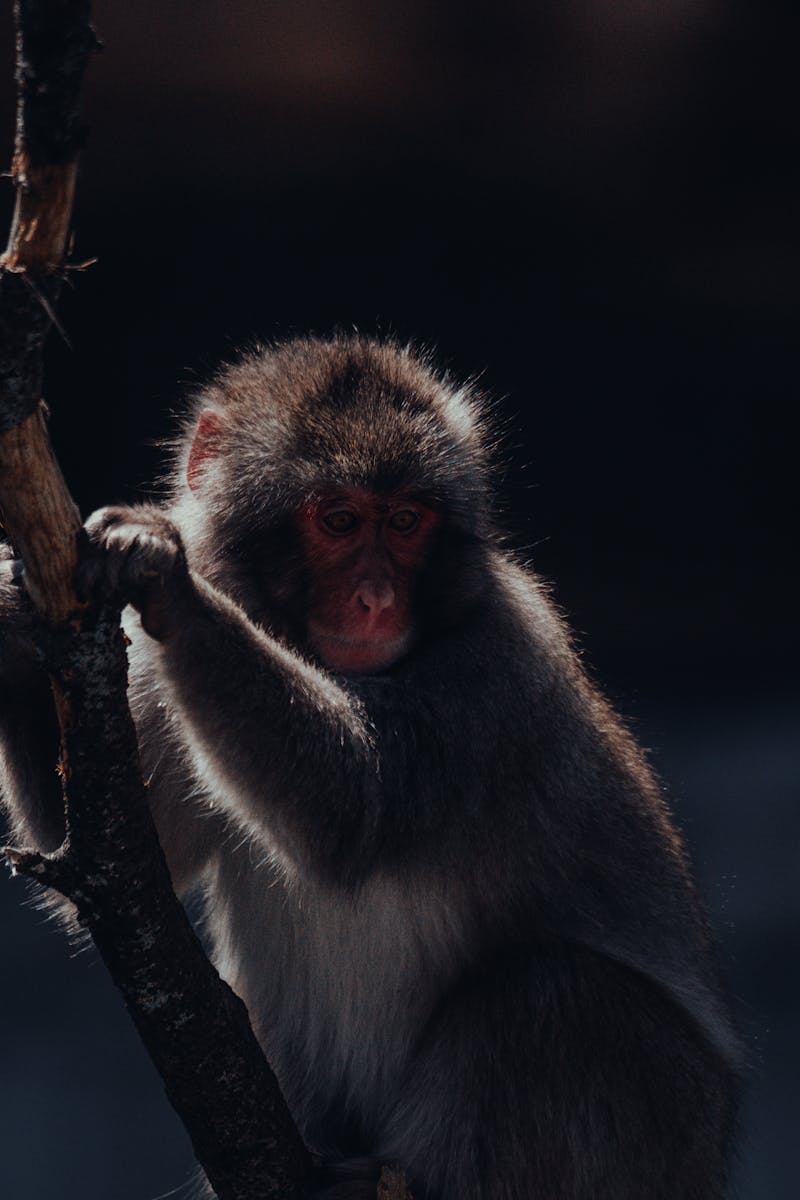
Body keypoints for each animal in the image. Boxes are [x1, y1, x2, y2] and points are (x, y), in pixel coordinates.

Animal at [0, 335, 741, 1199]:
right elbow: (122, 861)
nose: (378, 600)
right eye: (340, 520)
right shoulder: (153, 687)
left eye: (408, 521)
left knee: (552, 992)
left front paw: (167, 581)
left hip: (664, 1131)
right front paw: (16, 607)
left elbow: (355, 811)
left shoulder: (500, 668)